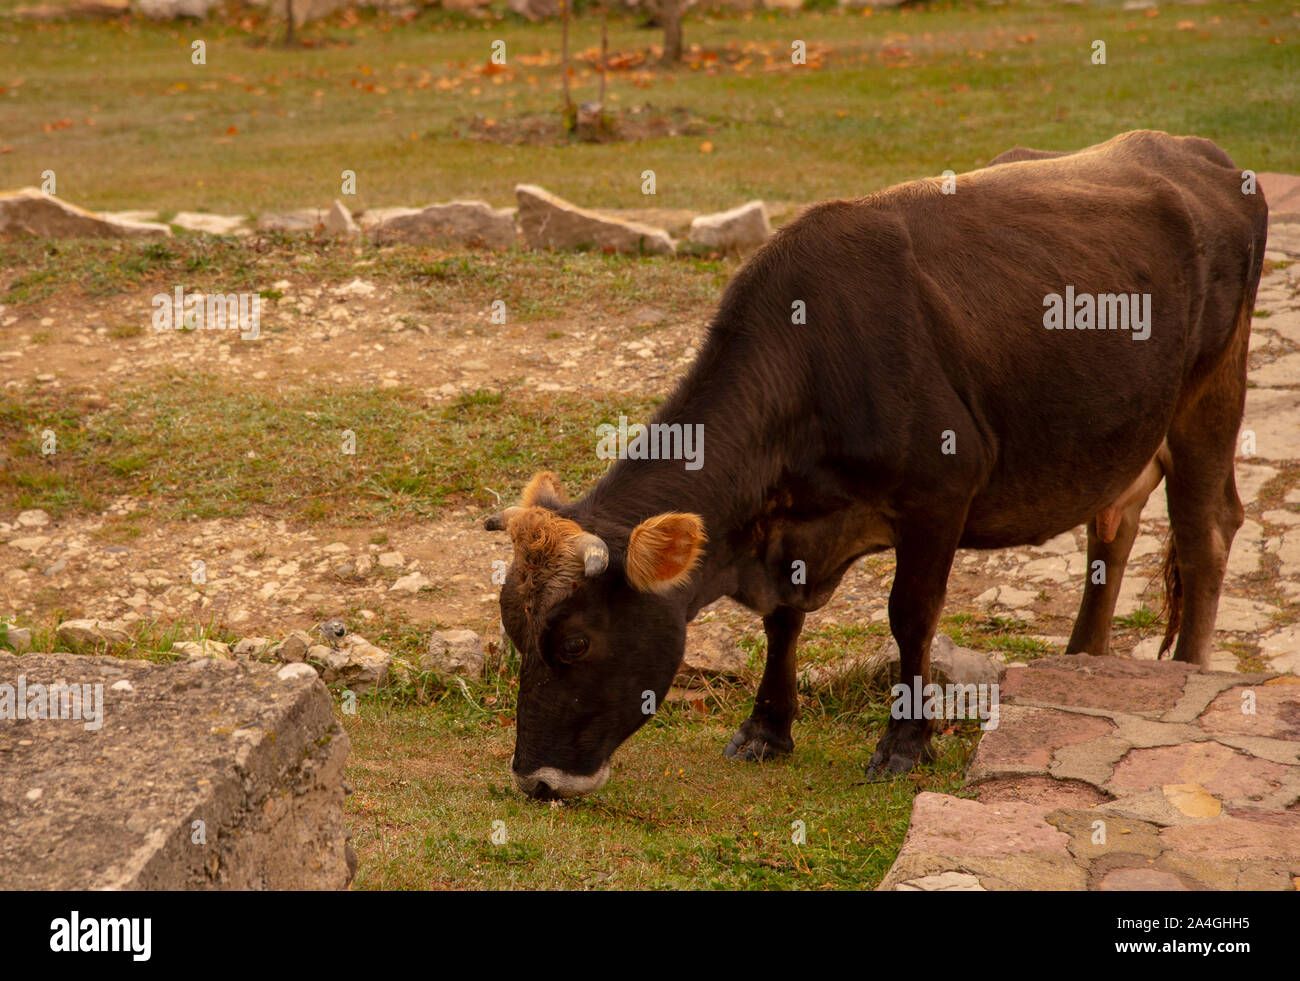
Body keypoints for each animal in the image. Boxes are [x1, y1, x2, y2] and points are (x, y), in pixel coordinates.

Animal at [485, 130, 1268, 800]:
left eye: (575, 641)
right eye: (515, 633)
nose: (536, 779)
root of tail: (1194, 152)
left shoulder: (940, 495)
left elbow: (909, 617)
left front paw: (905, 744)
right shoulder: (793, 534)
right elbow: (783, 623)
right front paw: (767, 728)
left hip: (1211, 388)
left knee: (1205, 533)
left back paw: (1184, 675)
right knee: (1116, 518)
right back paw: (1078, 660)